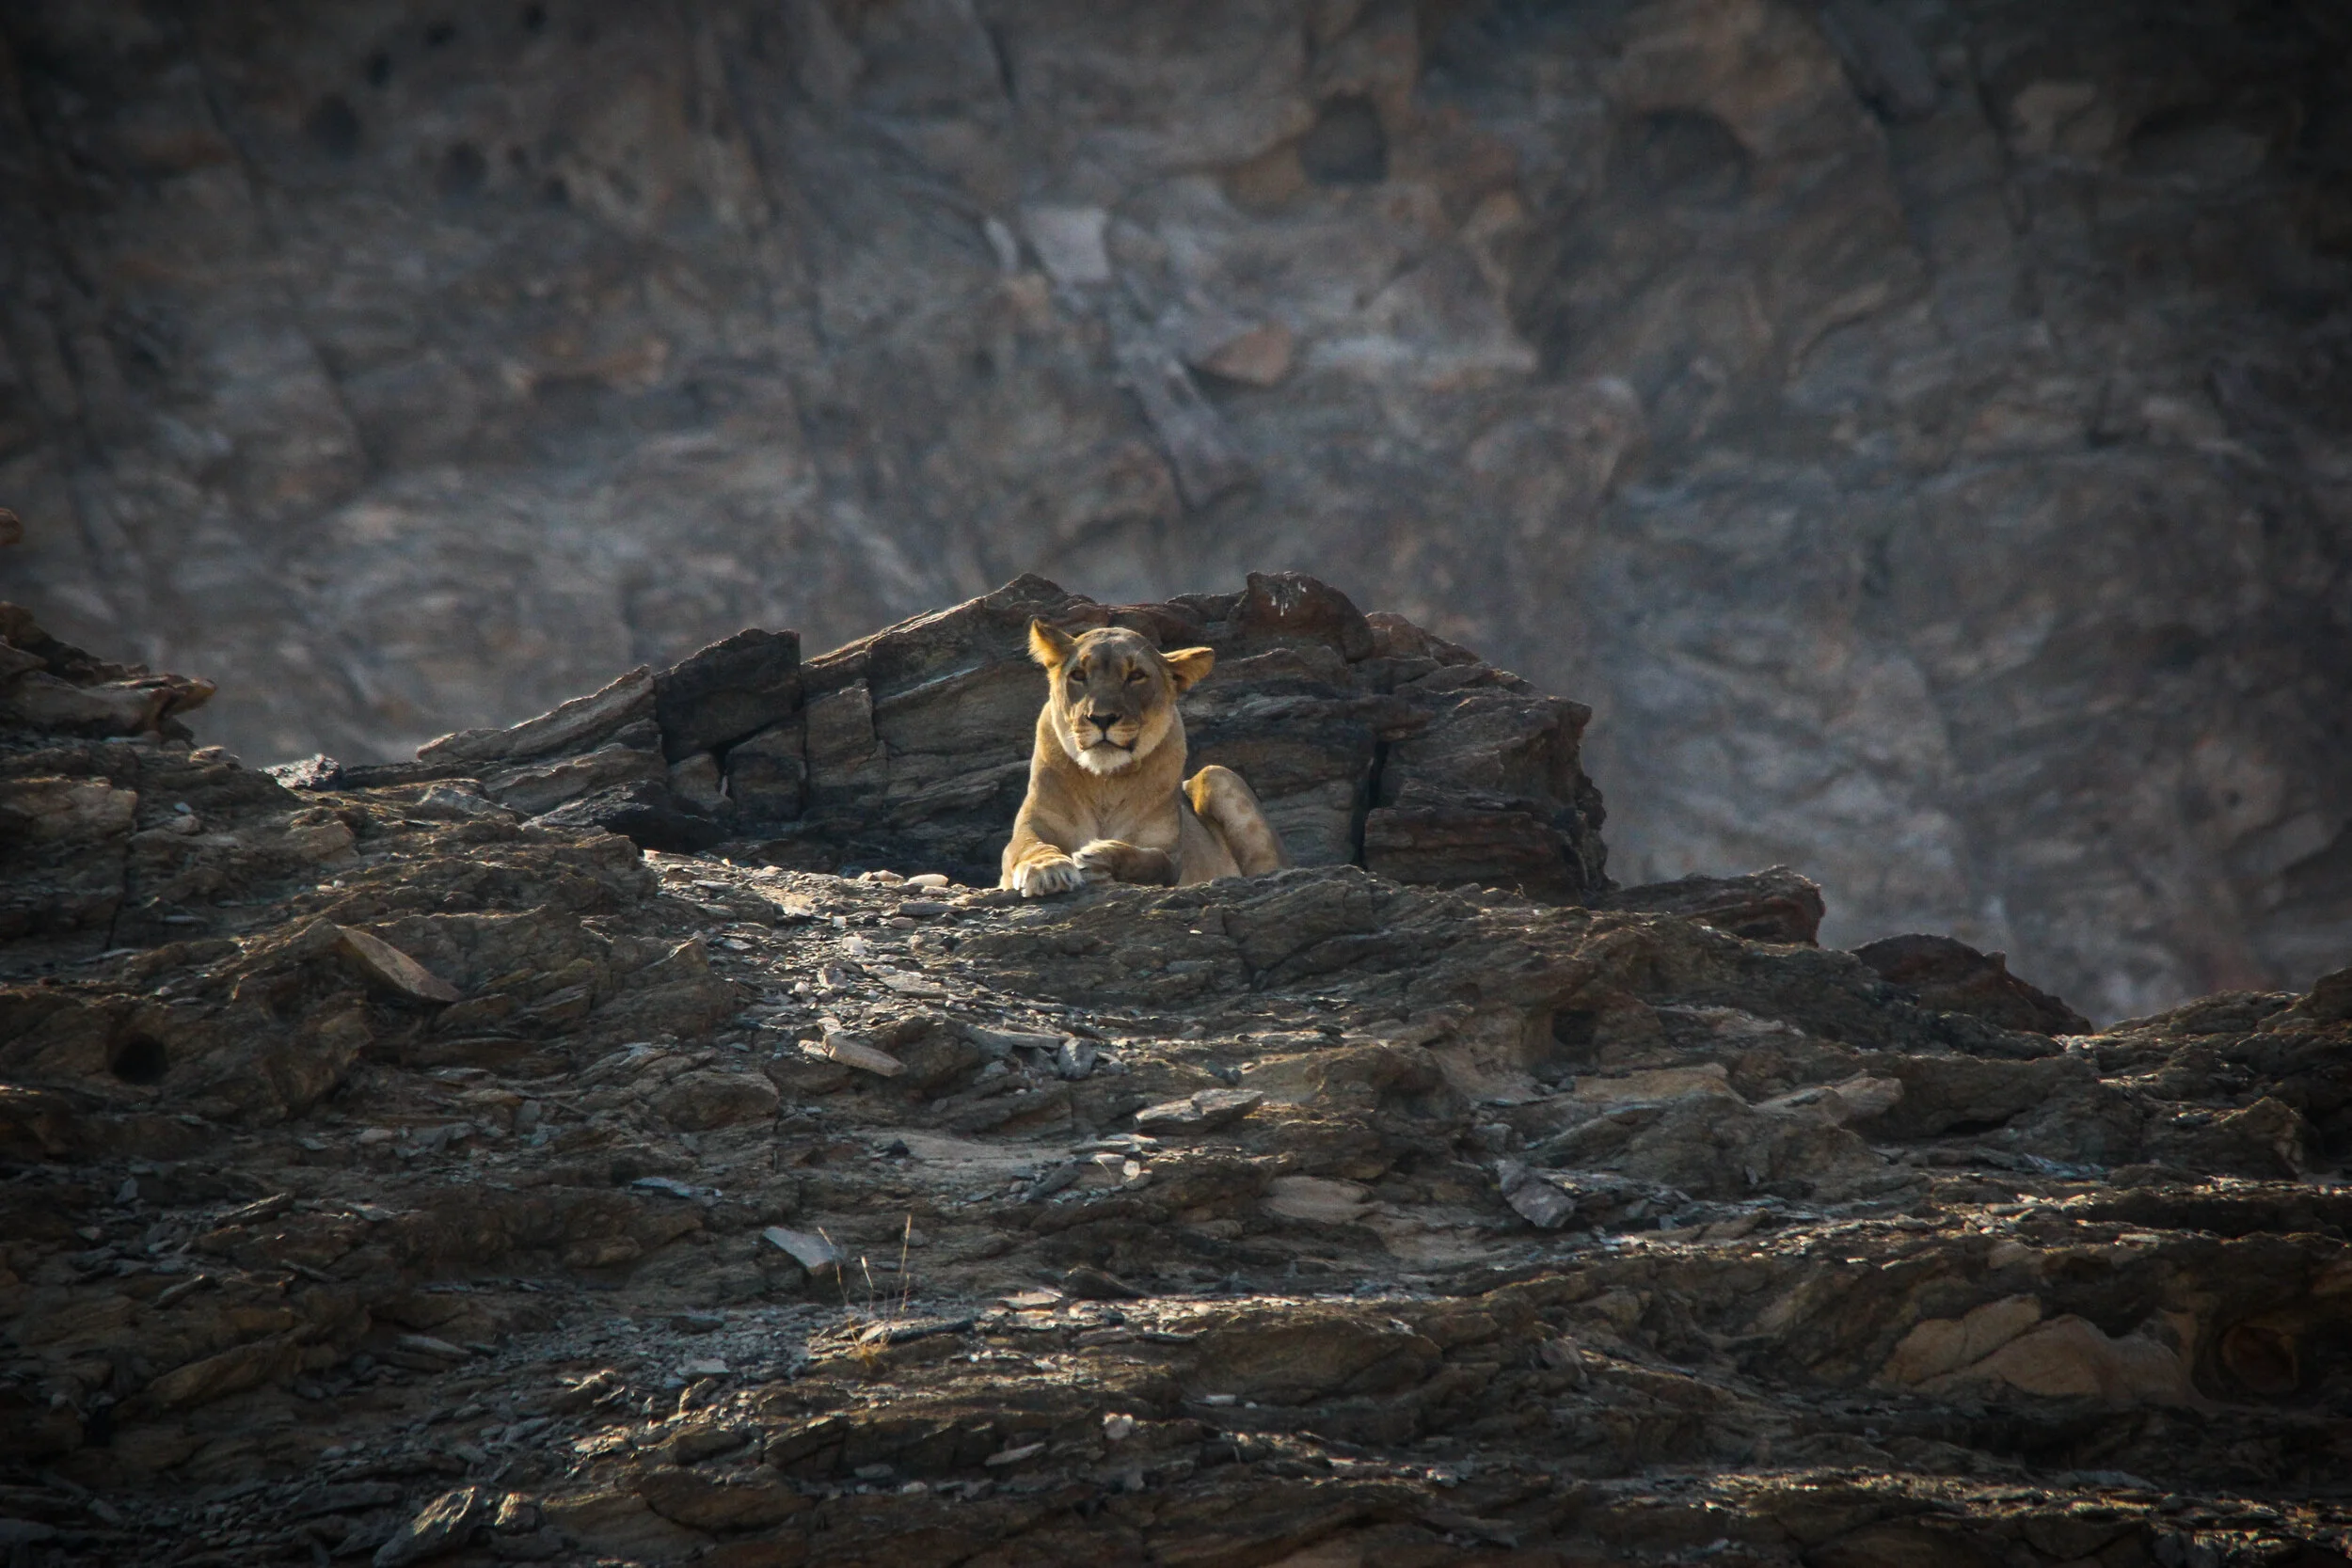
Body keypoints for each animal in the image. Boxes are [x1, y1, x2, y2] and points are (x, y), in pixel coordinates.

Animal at [1000, 620, 1290, 897]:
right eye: (1078, 675)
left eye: (1136, 676)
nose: (1102, 718)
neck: (1105, 783)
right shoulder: (1033, 825)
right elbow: (1028, 846)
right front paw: (1048, 870)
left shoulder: (1171, 855)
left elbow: (1153, 861)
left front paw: (1099, 857)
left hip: (1218, 774)